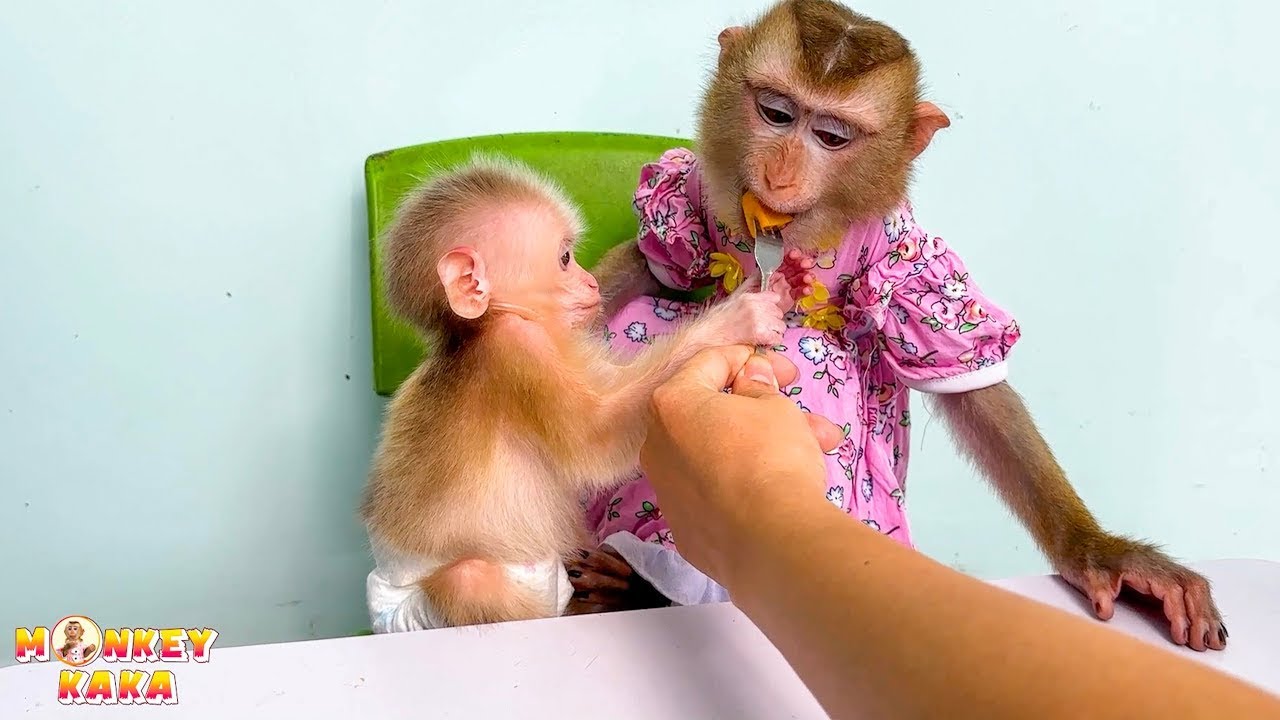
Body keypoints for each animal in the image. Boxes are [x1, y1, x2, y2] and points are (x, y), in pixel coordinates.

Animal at [360, 154, 793, 631]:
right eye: (566, 259)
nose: (588, 282)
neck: (477, 331)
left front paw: (768, 285)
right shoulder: (518, 350)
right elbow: (597, 437)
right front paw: (743, 316)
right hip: (414, 614)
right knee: (468, 581)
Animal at [574, 0, 1227, 651]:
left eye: (831, 137)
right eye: (776, 114)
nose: (780, 175)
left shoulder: (904, 253)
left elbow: (968, 380)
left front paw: (1094, 550)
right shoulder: (689, 192)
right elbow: (653, 267)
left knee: (813, 349)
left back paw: (649, 584)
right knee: (652, 314)